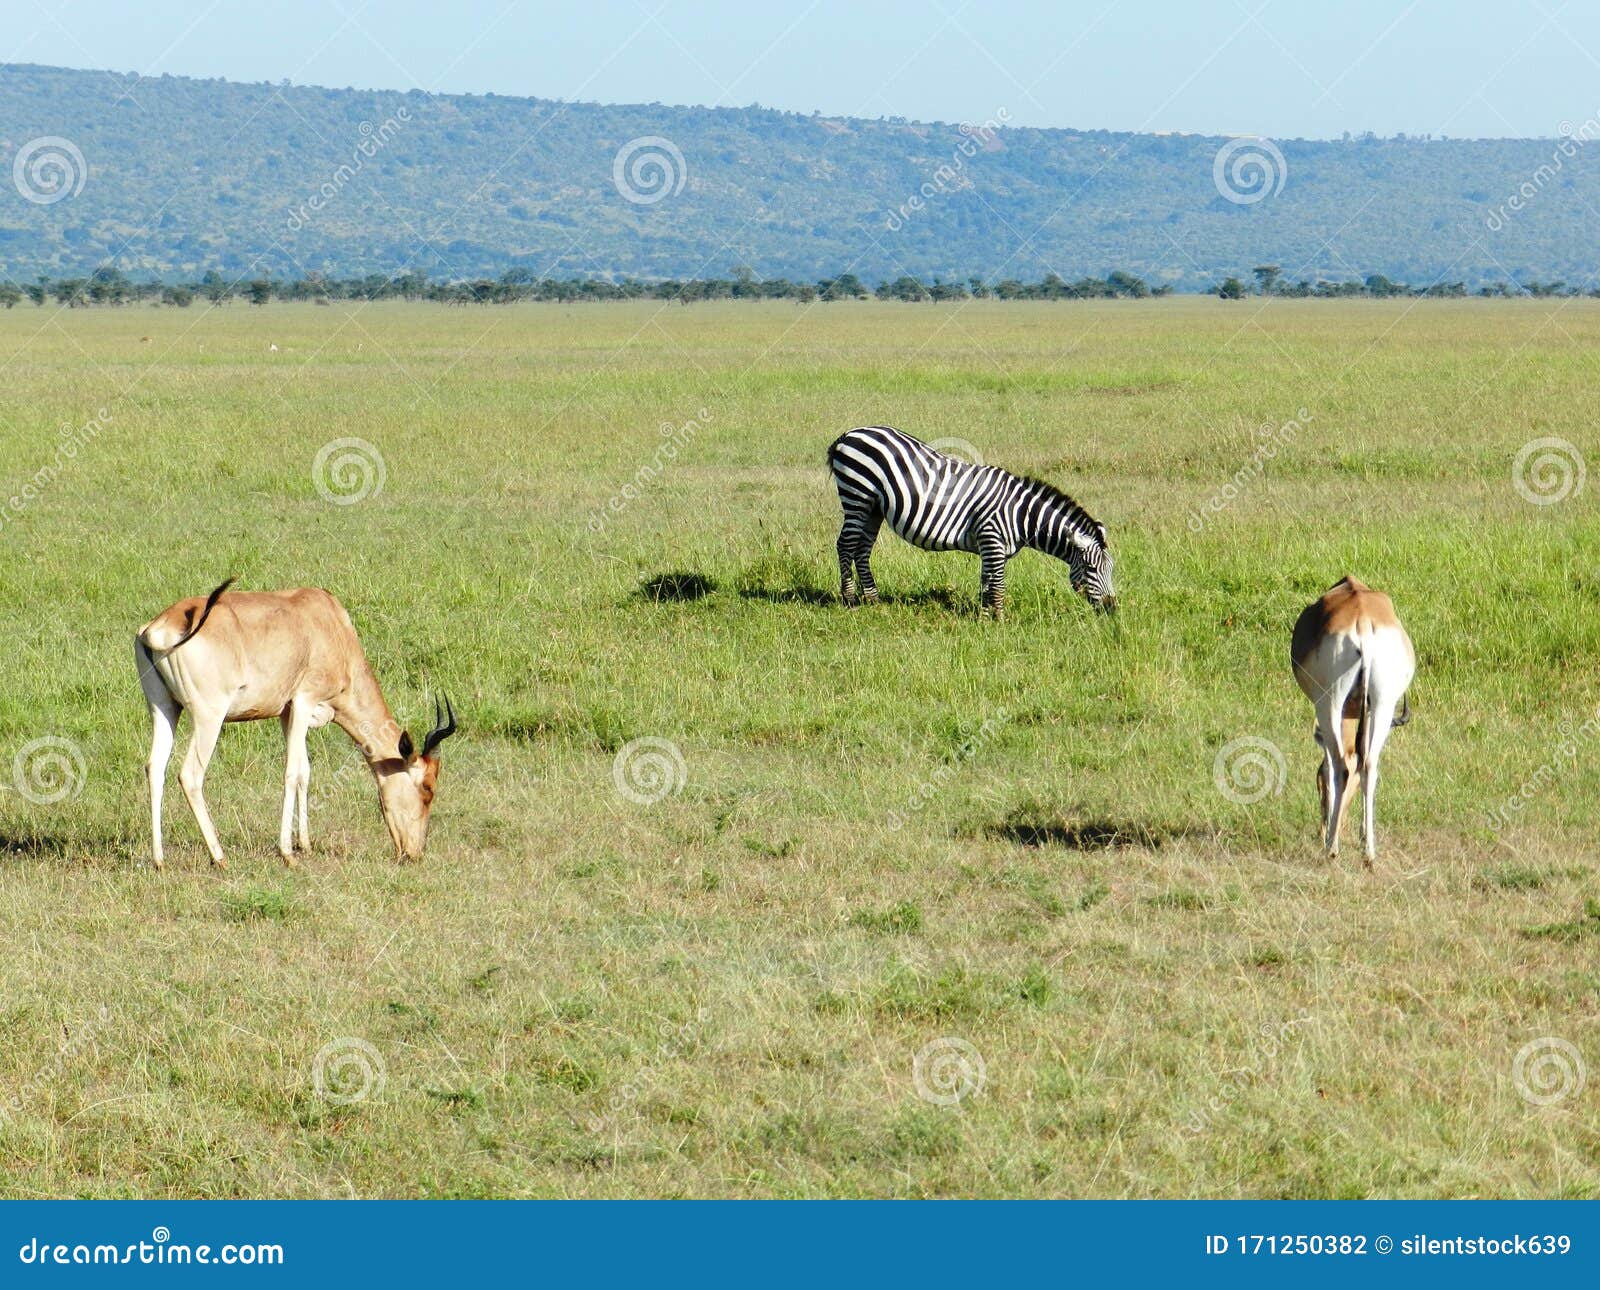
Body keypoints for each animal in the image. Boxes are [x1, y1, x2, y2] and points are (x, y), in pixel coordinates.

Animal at [828, 426, 1116, 616]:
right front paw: (999, 620)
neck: (1021, 515)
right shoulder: (991, 538)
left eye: (1111, 569)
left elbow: (987, 581)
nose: (1112, 608)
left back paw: (873, 600)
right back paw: (850, 599)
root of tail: (850, 434)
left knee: (862, 550)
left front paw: (985, 615)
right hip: (857, 496)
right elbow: (998, 584)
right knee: (845, 545)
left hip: (874, 508)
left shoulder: (990, 547)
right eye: (1091, 569)